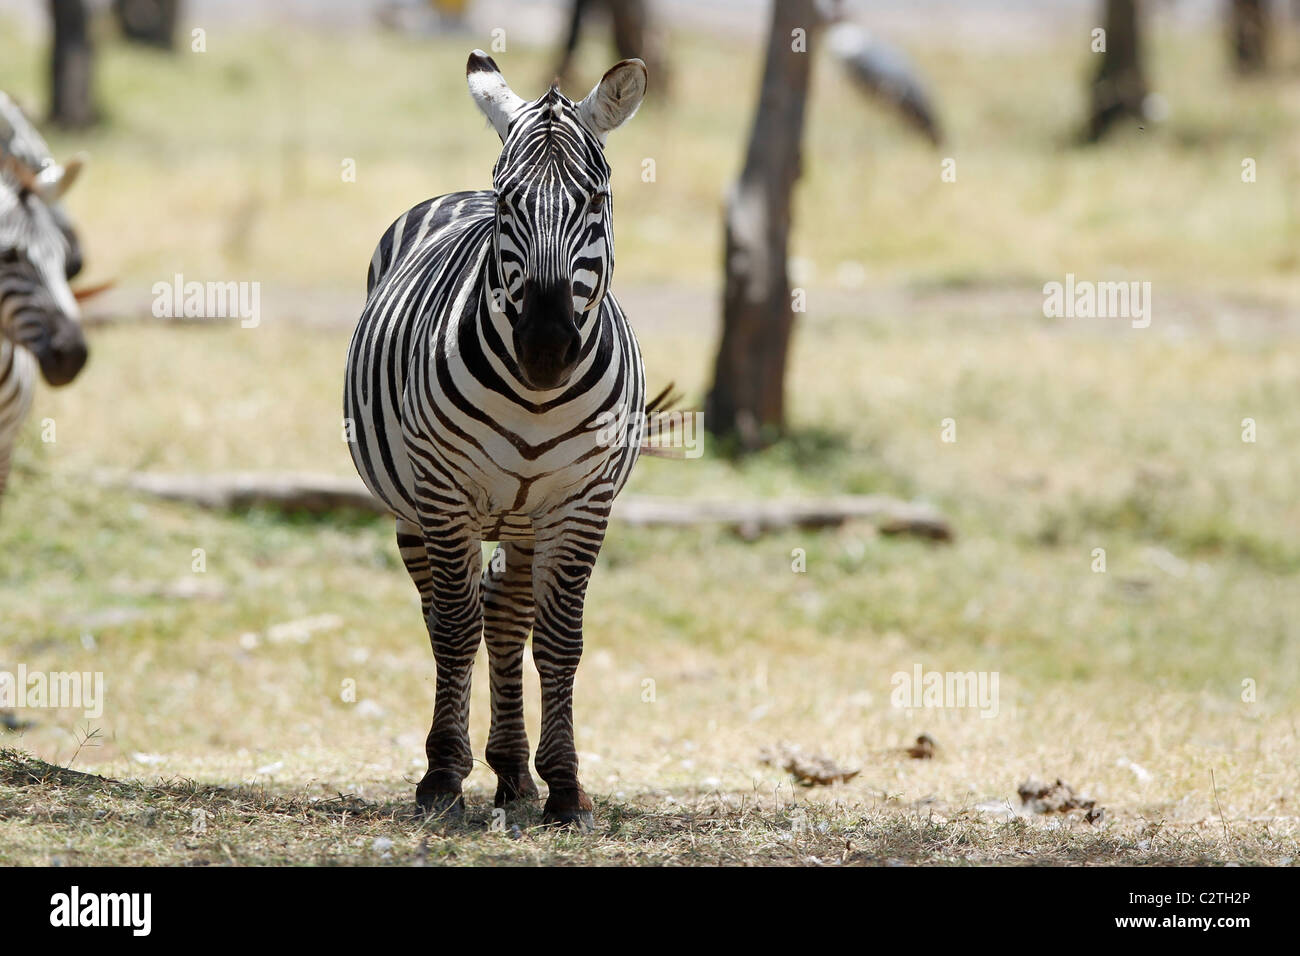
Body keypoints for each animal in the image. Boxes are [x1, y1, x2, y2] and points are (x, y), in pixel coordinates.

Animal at [344, 51, 649, 829]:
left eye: (595, 202)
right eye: (510, 204)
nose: (545, 347)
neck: (535, 394)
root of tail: (455, 196)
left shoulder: (582, 503)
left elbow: (560, 640)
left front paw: (566, 786)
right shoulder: (445, 494)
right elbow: (455, 629)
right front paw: (442, 779)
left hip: (525, 518)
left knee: (507, 617)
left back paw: (514, 772)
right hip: (415, 509)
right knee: (446, 618)